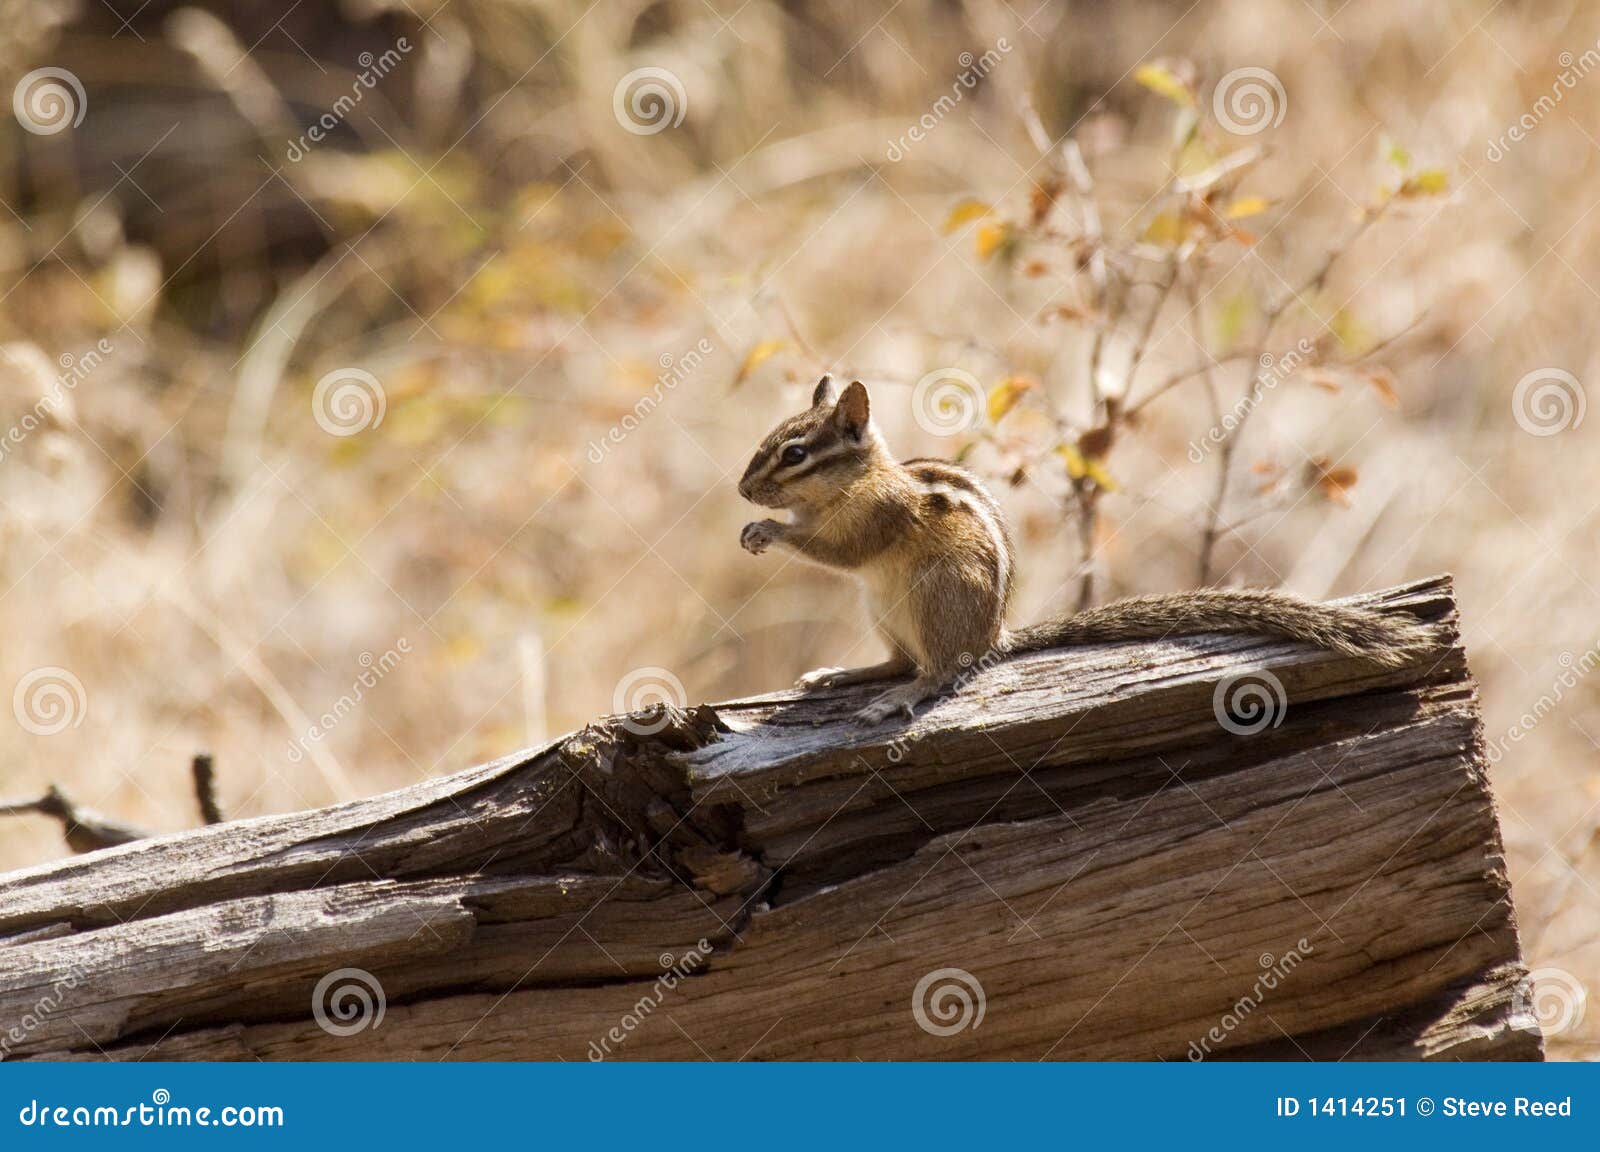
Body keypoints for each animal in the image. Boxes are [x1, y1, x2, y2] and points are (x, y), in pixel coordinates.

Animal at [738, 376, 1433, 724]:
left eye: (795, 454)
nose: (745, 490)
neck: (855, 481)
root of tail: (994, 638)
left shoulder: (874, 523)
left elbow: (838, 551)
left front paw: (769, 531)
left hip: (936, 593)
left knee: (935, 671)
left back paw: (898, 697)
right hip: (881, 608)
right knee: (897, 661)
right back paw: (846, 674)